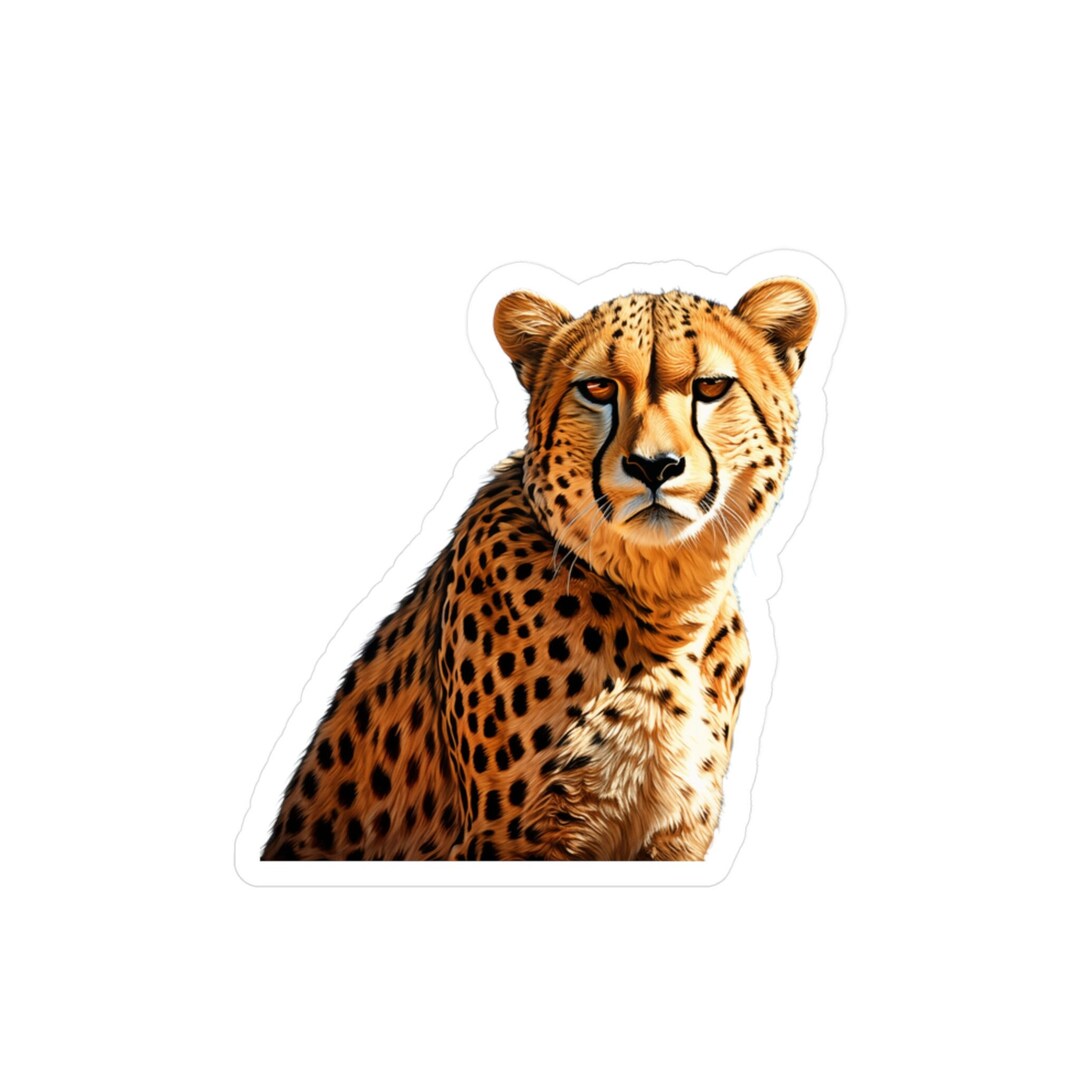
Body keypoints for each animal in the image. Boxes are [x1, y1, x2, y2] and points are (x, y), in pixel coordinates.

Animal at [262, 277, 817, 860]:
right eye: (596, 388)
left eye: (710, 386)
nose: (654, 466)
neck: (666, 611)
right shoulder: (516, 839)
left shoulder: (674, 837)